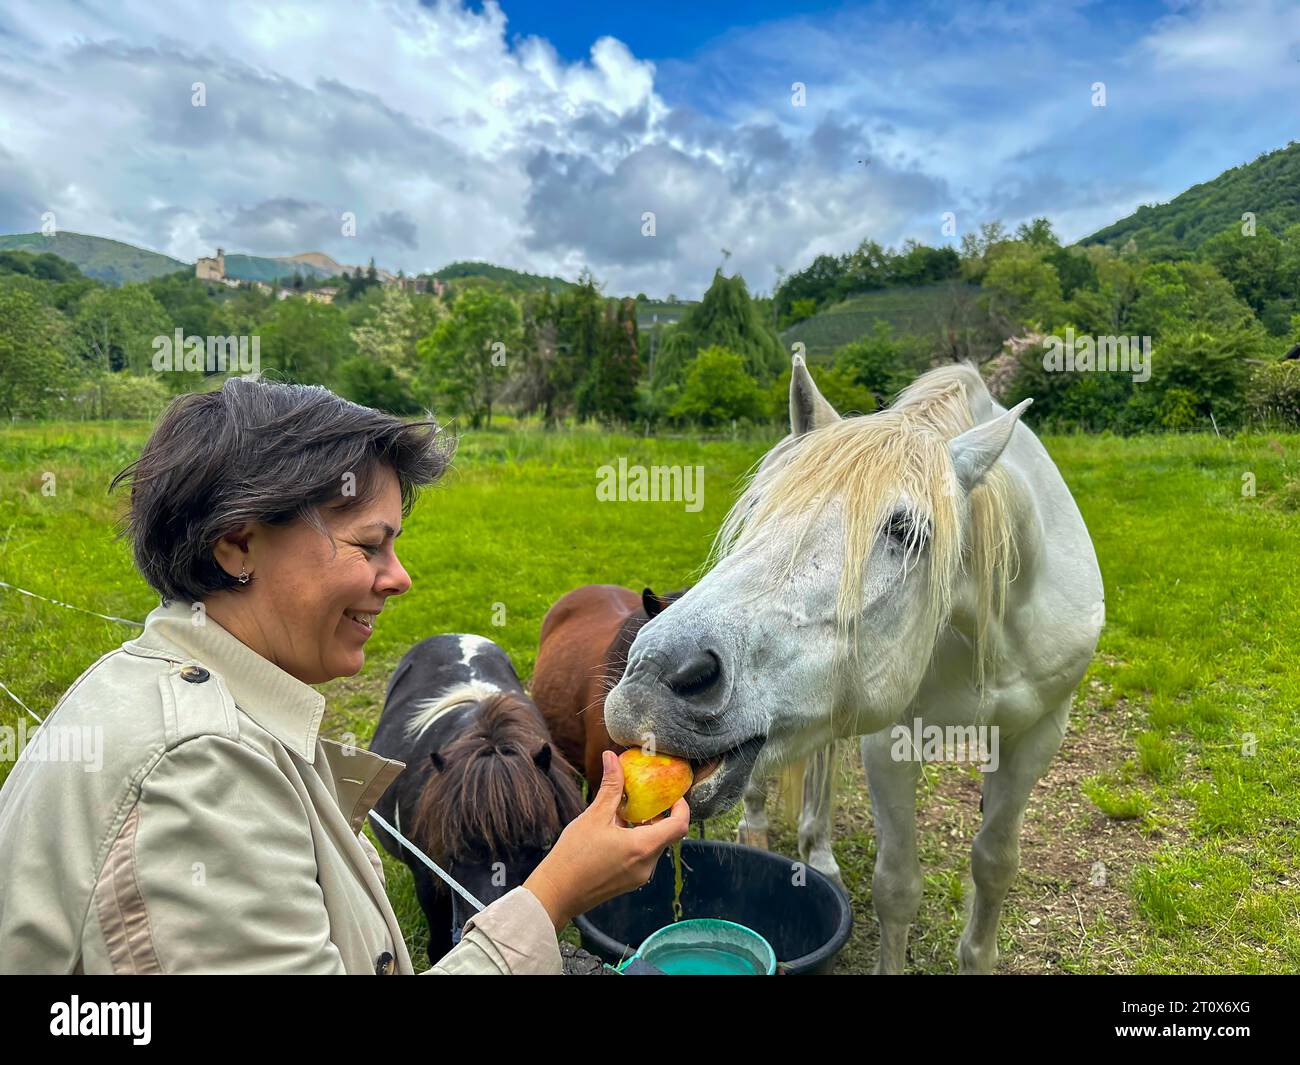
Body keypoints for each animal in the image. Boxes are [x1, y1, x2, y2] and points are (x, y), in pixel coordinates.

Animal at [605, 356, 1104, 974]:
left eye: (908, 532)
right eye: (758, 514)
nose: (654, 674)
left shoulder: (1039, 732)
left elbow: (994, 865)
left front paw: (977, 953)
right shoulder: (890, 742)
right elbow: (897, 886)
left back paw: (818, 853)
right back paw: (761, 833)